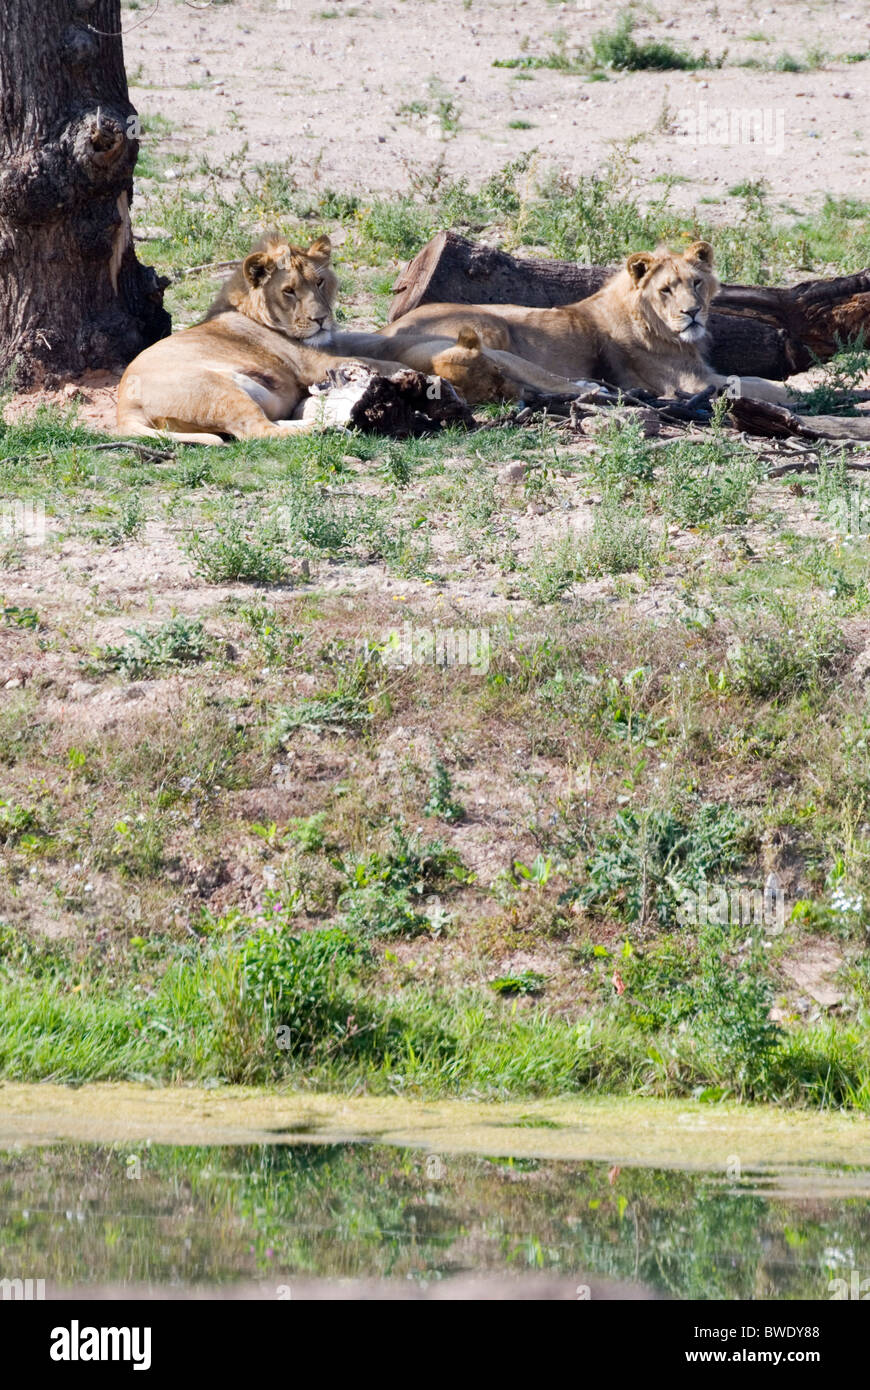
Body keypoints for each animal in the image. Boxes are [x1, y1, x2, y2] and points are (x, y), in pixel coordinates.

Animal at [371, 241, 796, 405]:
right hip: (491, 327)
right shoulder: (689, 382)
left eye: (696, 283)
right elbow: (760, 385)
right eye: (665, 290)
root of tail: (383, 333)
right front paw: (796, 396)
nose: (692, 312)